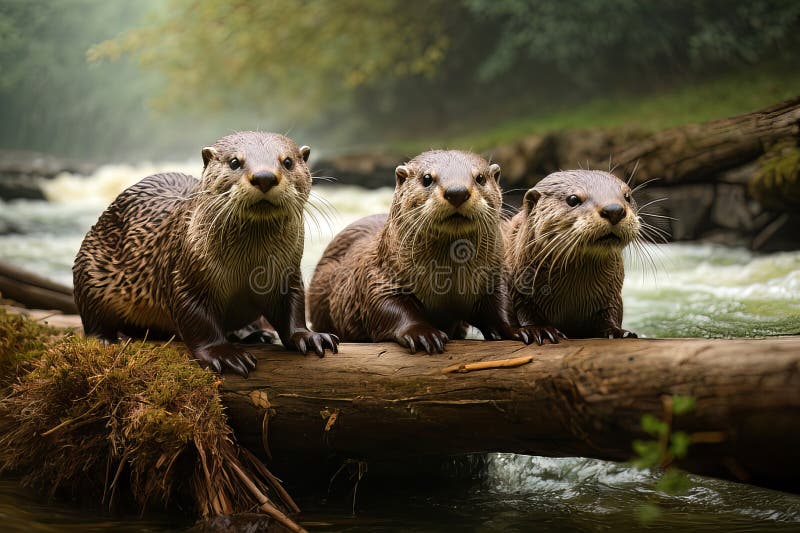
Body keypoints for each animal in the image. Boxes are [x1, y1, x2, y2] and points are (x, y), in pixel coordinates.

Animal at [73, 131, 338, 376]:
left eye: (288, 162)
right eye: (234, 162)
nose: (264, 177)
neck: (249, 266)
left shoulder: (287, 274)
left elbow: (293, 308)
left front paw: (309, 336)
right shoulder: (185, 276)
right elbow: (198, 319)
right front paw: (224, 354)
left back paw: (256, 334)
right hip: (88, 268)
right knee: (93, 316)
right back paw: (104, 340)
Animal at [308, 150, 520, 354]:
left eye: (480, 178)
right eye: (427, 178)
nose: (457, 192)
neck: (447, 282)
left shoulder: (493, 276)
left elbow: (500, 305)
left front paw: (517, 330)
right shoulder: (379, 276)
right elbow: (387, 306)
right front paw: (423, 333)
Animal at [503, 170, 640, 340]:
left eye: (627, 196)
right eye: (573, 199)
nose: (614, 210)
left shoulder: (612, 295)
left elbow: (611, 314)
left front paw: (619, 332)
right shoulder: (517, 290)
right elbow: (523, 311)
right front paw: (540, 329)